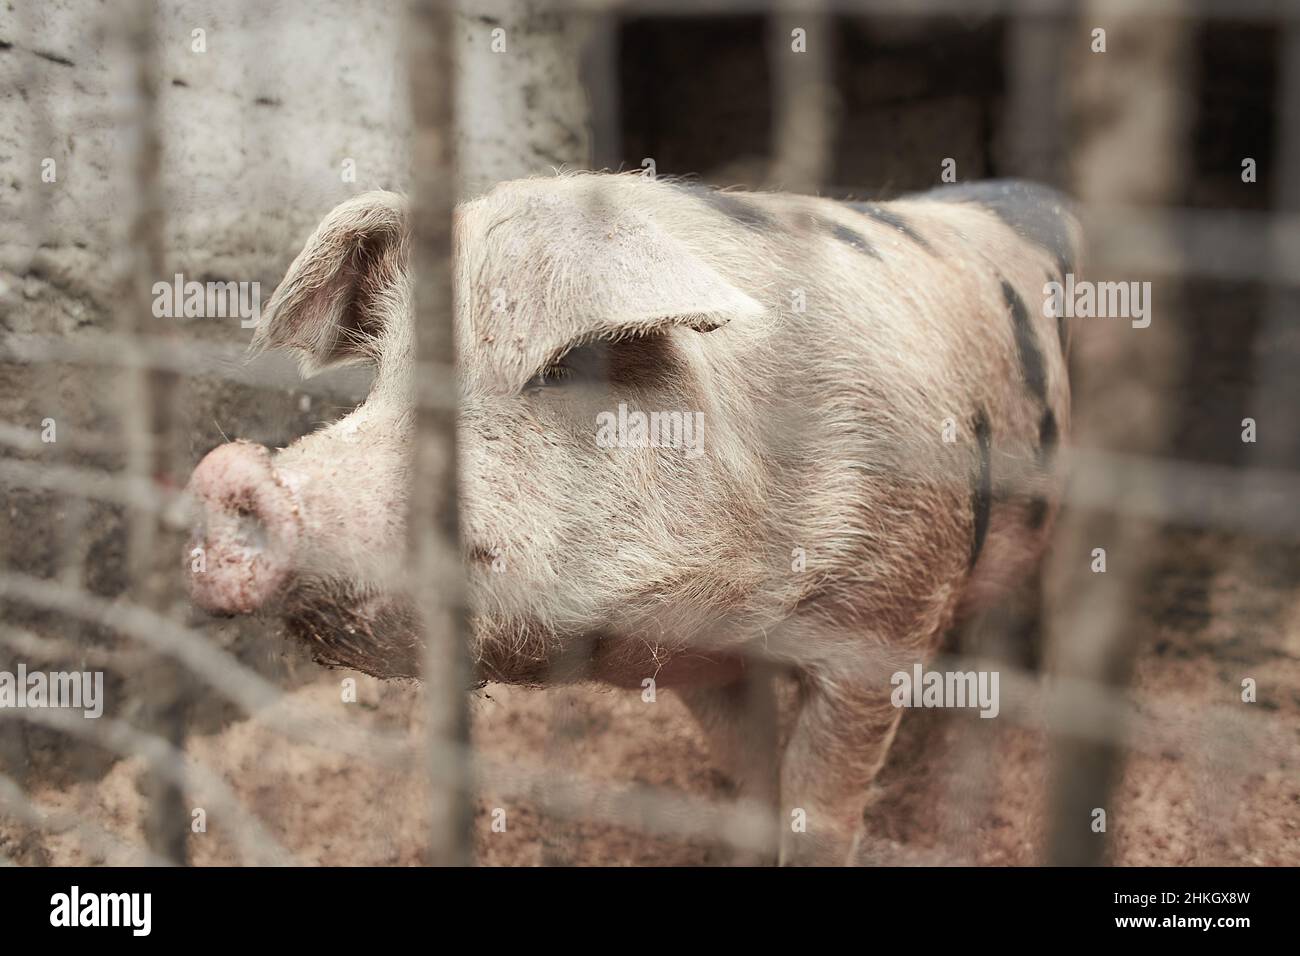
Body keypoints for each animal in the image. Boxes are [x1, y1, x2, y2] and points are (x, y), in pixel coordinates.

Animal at [186, 173, 1080, 865]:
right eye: (385, 378)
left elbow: (821, 801)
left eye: (563, 370)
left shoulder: (887, 610)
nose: (234, 474)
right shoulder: (703, 660)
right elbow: (753, 779)